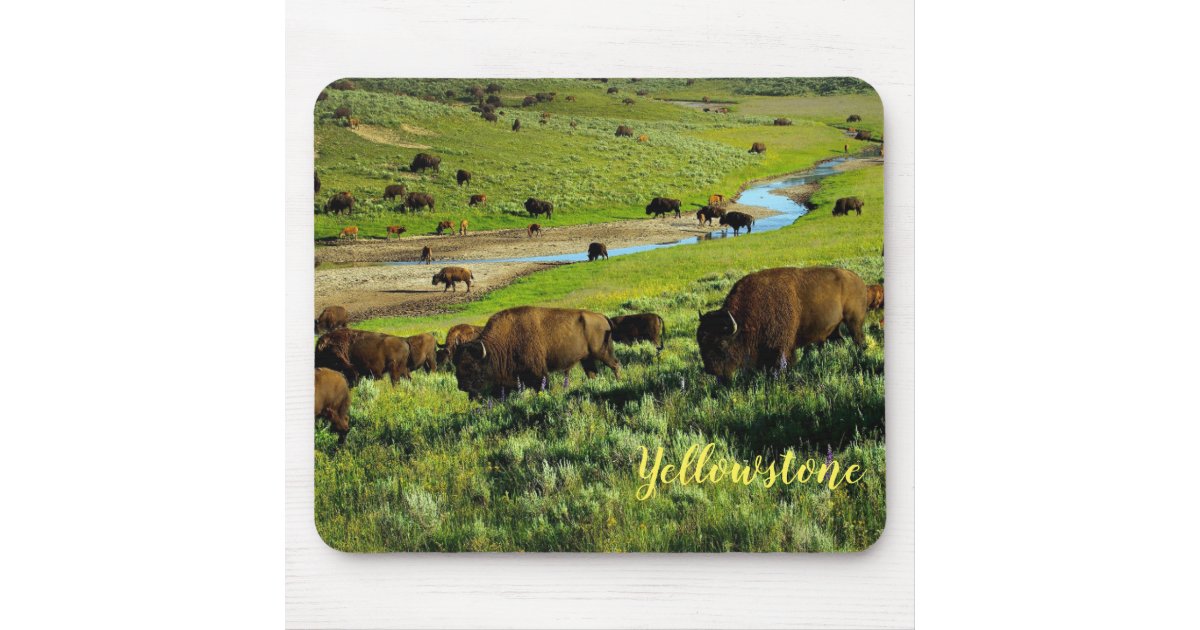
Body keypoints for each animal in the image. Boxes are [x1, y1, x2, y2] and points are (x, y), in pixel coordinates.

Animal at [452, 306, 621, 399]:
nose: (462, 386)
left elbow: (542, 386)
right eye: (457, 366)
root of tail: (602, 317)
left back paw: (619, 382)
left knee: (615, 365)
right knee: (593, 373)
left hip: (602, 353)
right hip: (587, 359)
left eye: (474, 367)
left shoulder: (538, 373)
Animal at [696, 267, 869, 382]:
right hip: (834, 329)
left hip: (854, 323)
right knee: (840, 340)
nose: (711, 370)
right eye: (700, 343)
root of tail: (859, 280)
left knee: (859, 340)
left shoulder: (781, 349)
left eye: (722, 343)